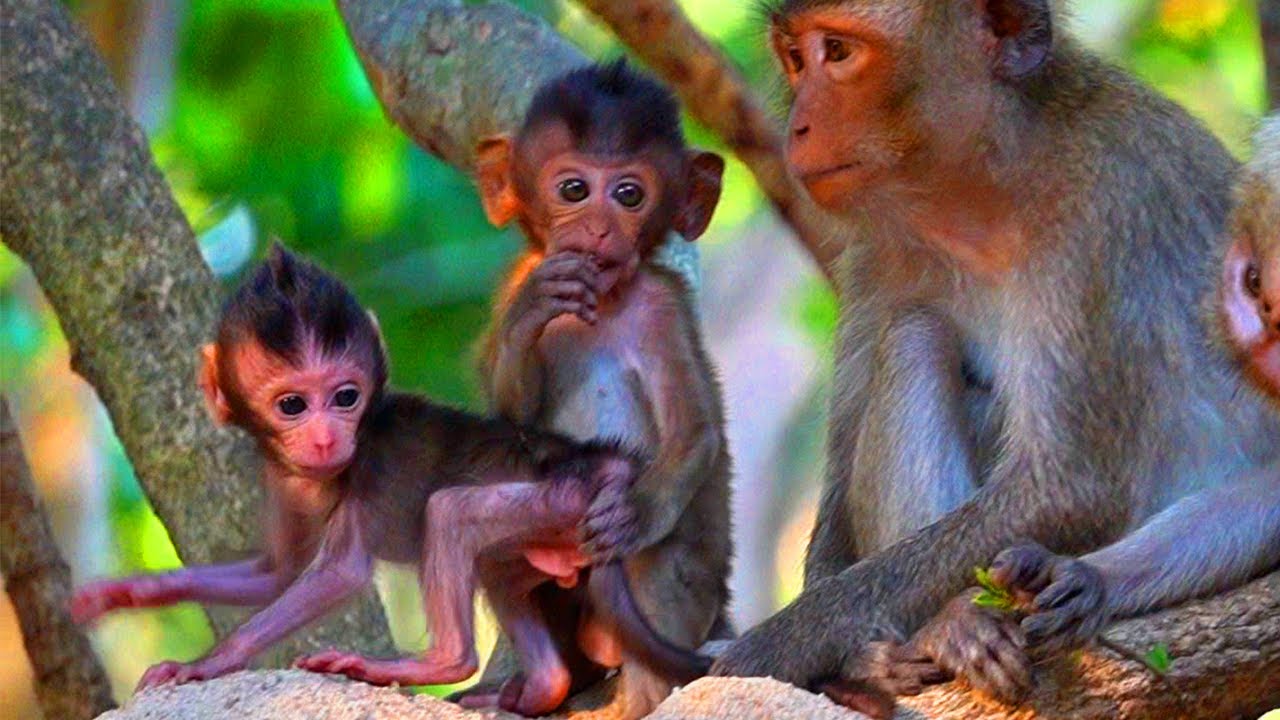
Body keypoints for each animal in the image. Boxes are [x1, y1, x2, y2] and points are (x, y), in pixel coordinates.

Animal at [69, 246, 711, 714]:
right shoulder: (281, 475)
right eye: (293, 405)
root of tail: (603, 462)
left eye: (346, 397)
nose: (327, 438)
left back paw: (435, 665)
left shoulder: (368, 471)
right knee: (500, 574)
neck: (320, 474)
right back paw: (539, 688)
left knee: (450, 514)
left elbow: (339, 572)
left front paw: (206, 663)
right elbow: (273, 572)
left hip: (559, 497)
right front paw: (128, 593)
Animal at [458, 60, 734, 719]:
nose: (600, 229)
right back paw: (543, 686)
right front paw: (539, 309)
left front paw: (631, 514)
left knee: (651, 566)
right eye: (574, 191)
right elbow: (512, 420)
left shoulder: (661, 306)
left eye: (629, 195)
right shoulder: (518, 280)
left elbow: (694, 431)